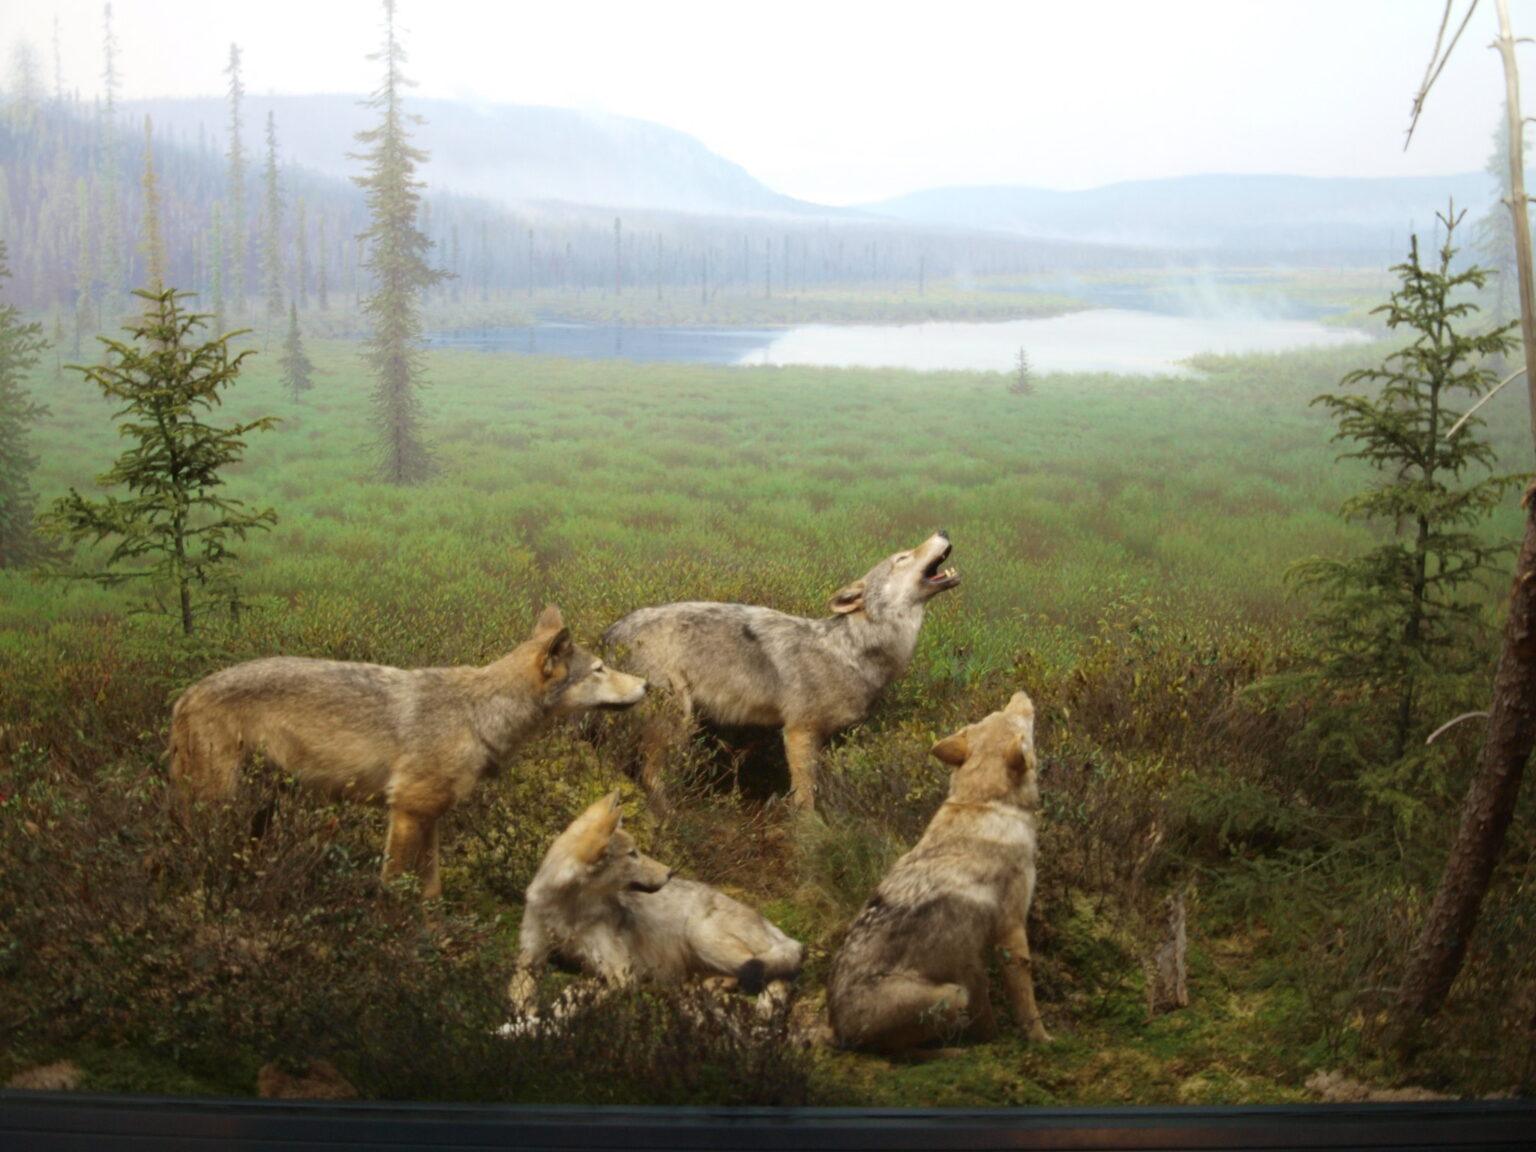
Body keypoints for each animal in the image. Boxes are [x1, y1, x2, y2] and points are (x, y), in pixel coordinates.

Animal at [169, 605, 646, 898]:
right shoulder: (407, 811)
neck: (475, 715)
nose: (646, 685)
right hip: (218, 804)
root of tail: (185, 694)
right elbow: (393, 889)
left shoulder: (430, 818)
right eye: (600, 669)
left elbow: (431, 892)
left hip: (259, 810)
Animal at [508, 791, 804, 1010]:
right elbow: (517, 994)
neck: (567, 911)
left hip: (700, 935)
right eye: (632, 854)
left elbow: (573, 992)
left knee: (775, 974)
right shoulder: (530, 957)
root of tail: (771, 925)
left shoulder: (624, 975)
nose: (670, 872)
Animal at [603, 531, 959, 811]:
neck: (851, 650)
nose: (942, 530)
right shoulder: (798, 732)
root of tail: (611, 632)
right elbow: (805, 797)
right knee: (650, 776)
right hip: (679, 720)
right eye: (901, 558)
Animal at [827, 691, 1049, 1052]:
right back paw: (954, 1051)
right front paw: (1041, 1039)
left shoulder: (974, 962)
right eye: (1020, 723)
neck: (985, 802)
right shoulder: (1011, 930)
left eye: (997, 712)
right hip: (953, 995)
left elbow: (987, 1015)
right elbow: (1025, 1002)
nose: (1020, 693)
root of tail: (839, 1032)